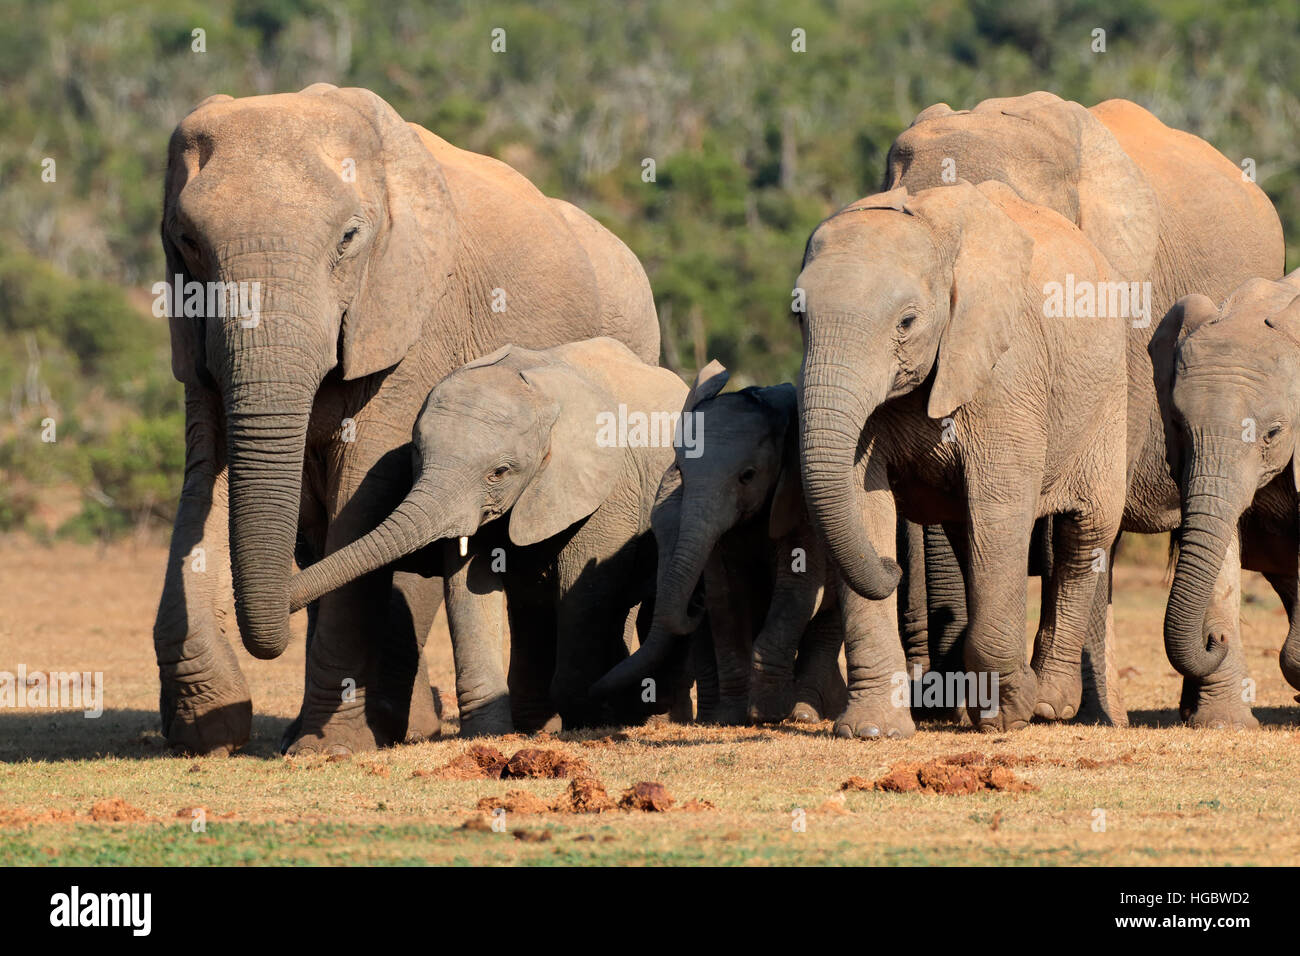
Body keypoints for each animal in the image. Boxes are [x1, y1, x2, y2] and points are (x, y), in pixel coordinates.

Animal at [288, 338, 688, 730]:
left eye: (499, 472)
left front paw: (590, 719)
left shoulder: (608, 491)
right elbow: (469, 586)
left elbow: (584, 592)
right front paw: (487, 732)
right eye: (417, 452)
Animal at [592, 361, 847, 725]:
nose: (694, 603)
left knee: (827, 625)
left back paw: (805, 715)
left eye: (748, 476)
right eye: (681, 471)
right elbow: (726, 598)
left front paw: (766, 714)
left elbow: (796, 591)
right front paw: (730, 717)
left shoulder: (800, 504)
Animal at [797, 178, 1130, 736]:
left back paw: (1048, 705)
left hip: (1108, 399)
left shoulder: (1009, 370)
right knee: (968, 535)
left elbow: (1001, 506)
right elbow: (864, 502)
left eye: (907, 322)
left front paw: (1011, 711)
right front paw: (872, 730)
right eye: (798, 317)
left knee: (1085, 531)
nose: (892, 566)